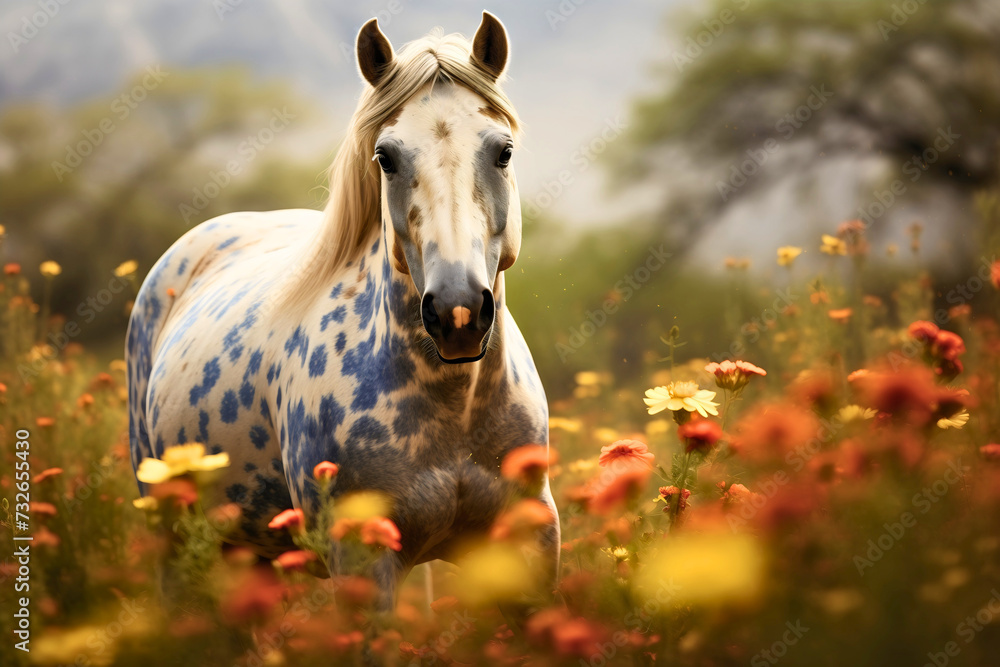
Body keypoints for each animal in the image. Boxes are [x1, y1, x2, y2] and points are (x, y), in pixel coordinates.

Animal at [126, 12, 559, 613]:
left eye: (503, 151)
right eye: (386, 157)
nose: (458, 310)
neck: (455, 408)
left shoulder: (530, 550)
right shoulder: (362, 563)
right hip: (173, 536)